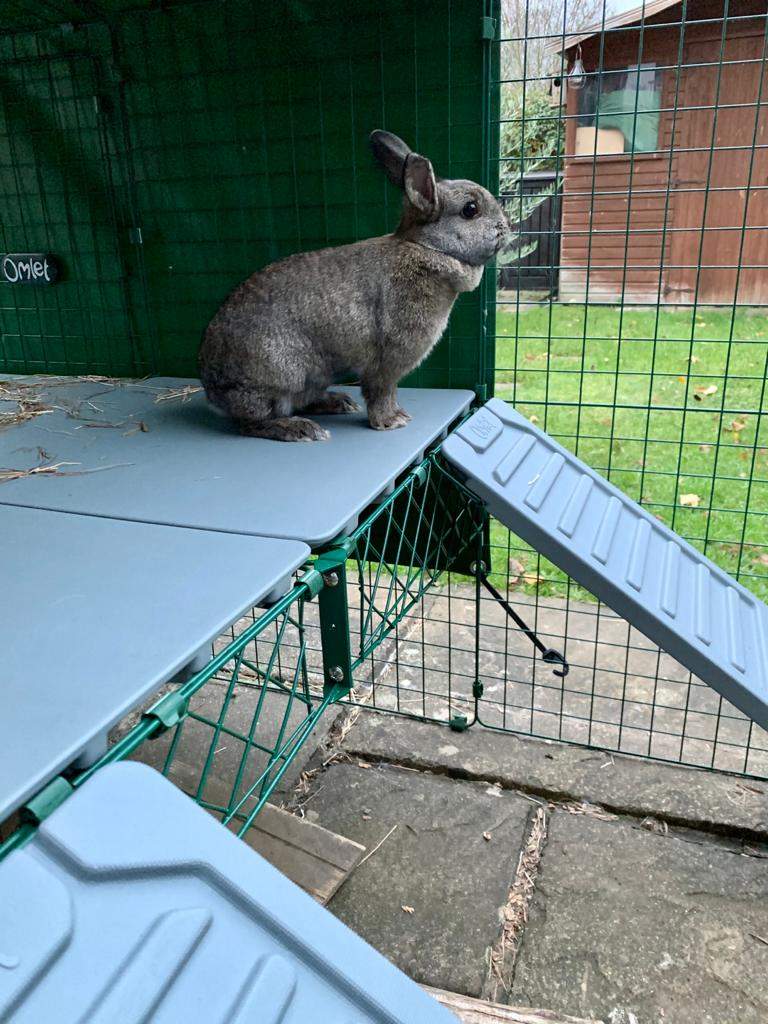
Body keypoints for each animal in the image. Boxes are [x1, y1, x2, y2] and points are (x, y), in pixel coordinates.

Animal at [199, 130, 512, 442]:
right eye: (470, 210)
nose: (506, 227)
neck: (425, 248)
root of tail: (212, 391)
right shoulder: (386, 361)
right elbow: (381, 390)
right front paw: (392, 421)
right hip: (280, 375)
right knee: (252, 422)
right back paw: (300, 429)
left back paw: (338, 403)